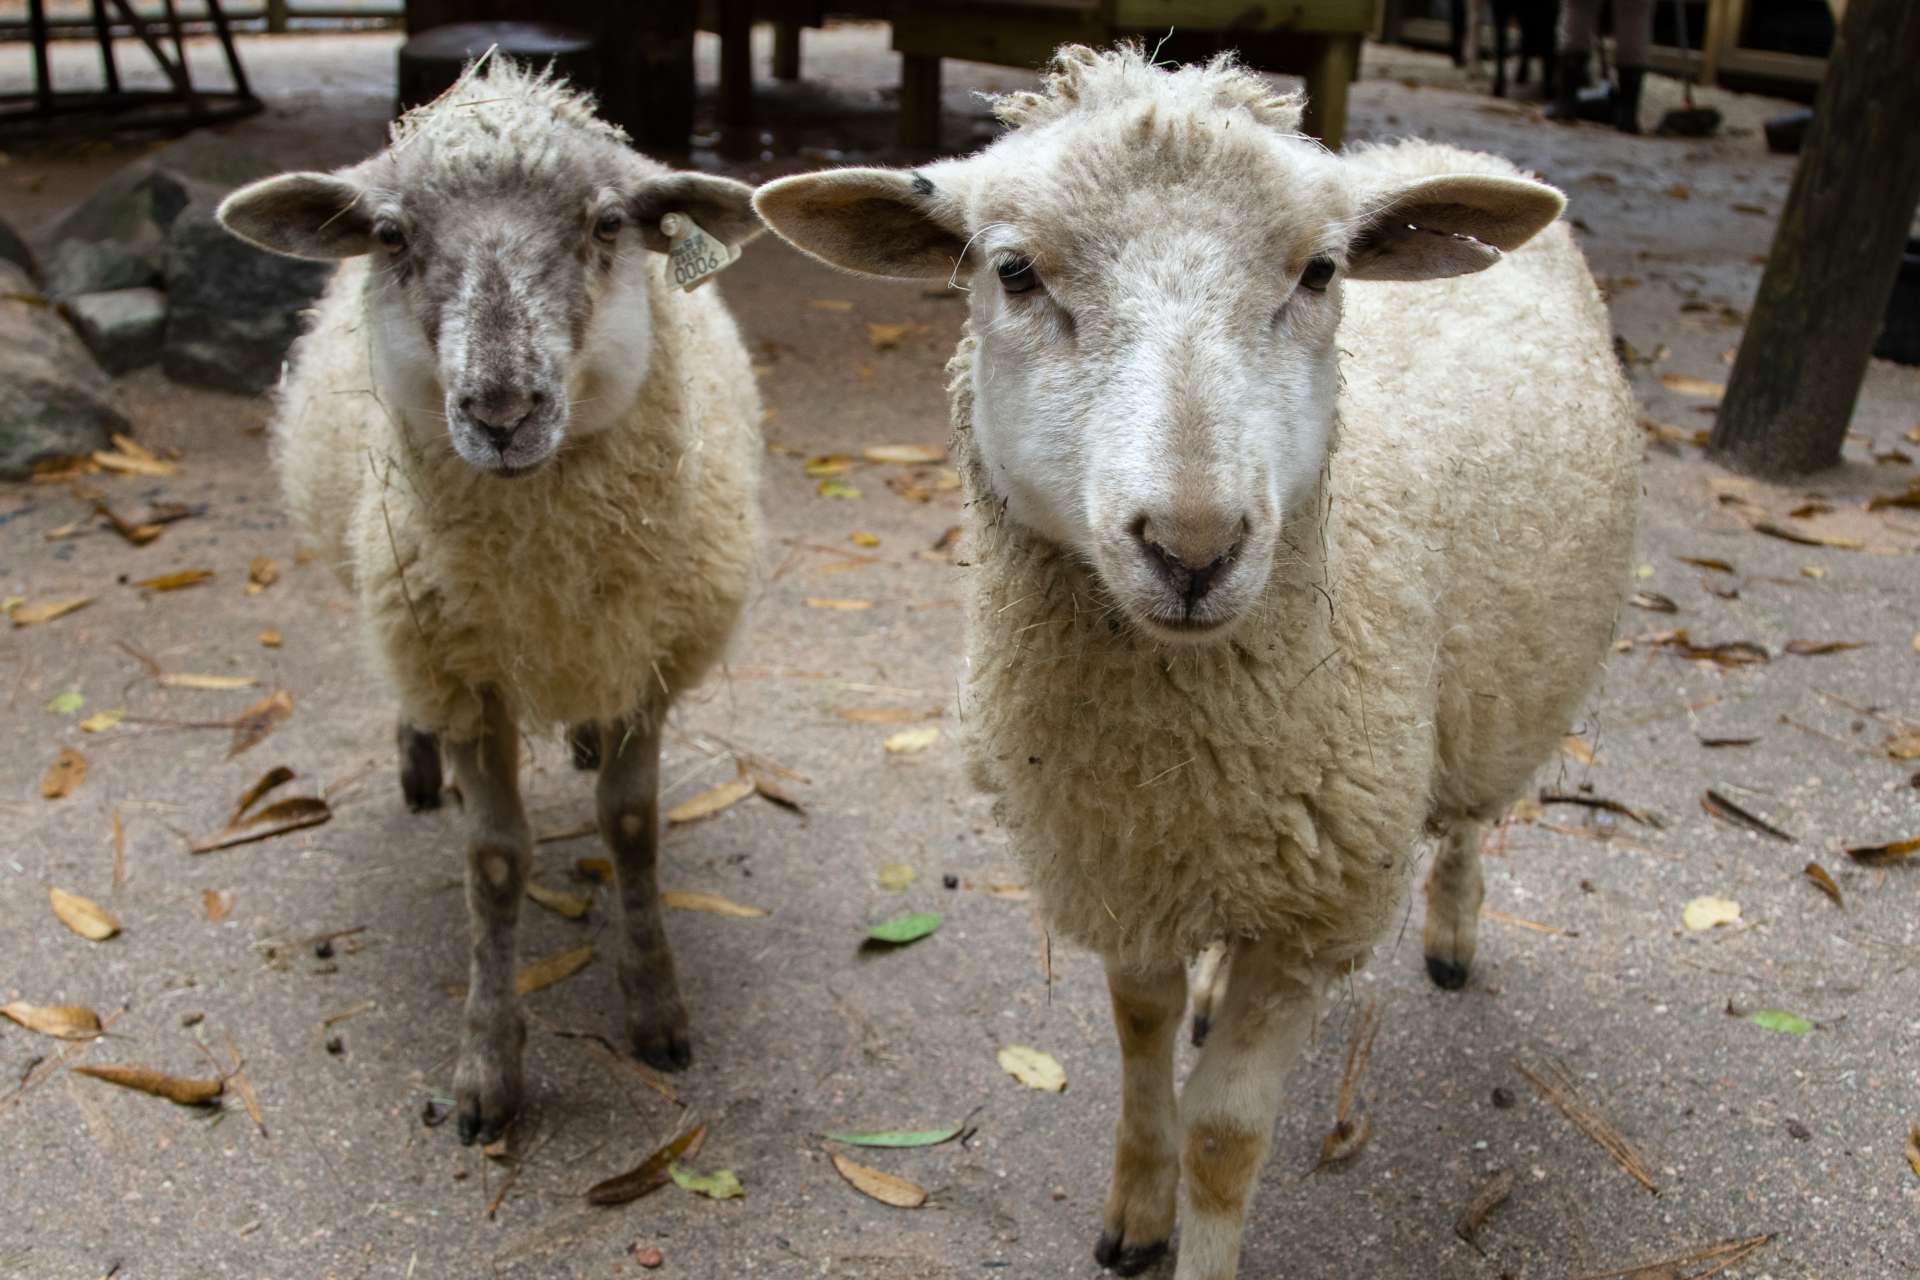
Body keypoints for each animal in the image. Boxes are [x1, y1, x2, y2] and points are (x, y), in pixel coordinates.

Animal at [216, 57, 764, 1144]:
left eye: (608, 222)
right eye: (390, 235)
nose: (501, 410)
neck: (540, 571)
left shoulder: (644, 652)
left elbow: (630, 827)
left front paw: (656, 1008)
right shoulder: (463, 669)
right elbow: (497, 863)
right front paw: (486, 1068)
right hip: (401, 607)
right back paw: (417, 762)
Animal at [754, 45, 1637, 1279]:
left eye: (1320, 271)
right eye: (1014, 272)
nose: (1192, 548)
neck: (1183, 759)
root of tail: (1444, 150)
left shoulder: (1312, 910)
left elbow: (1225, 1137)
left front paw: (1192, 1209)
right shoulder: (1125, 862)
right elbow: (1140, 1034)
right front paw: (1136, 1203)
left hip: (1496, 685)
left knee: (1468, 809)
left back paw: (1456, 931)